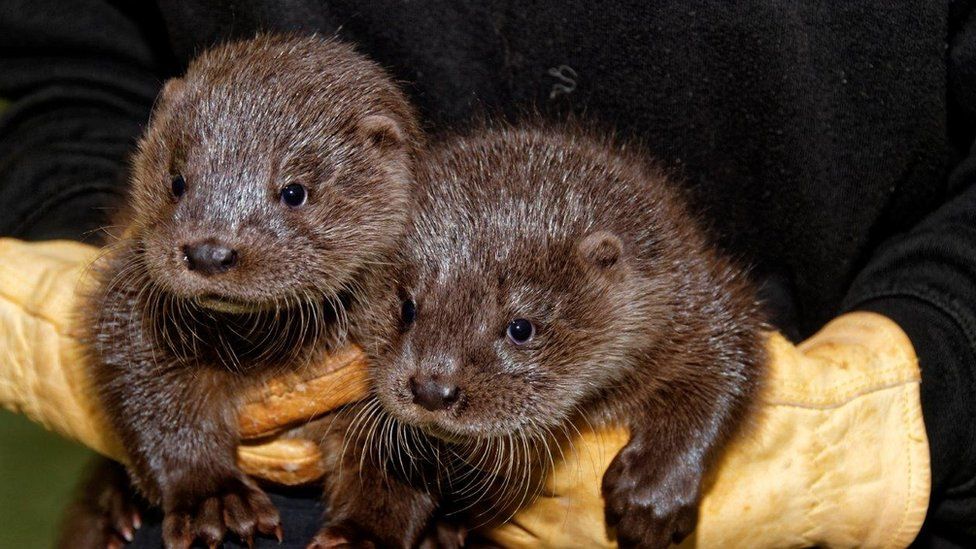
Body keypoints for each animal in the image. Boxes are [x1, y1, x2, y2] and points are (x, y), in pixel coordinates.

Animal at [76, 34, 420, 548]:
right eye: (177, 181)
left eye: (294, 191)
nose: (208, 252)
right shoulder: (130, 311)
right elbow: (154, 403)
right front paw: (213, 500)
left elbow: (401, 458)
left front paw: (364, 534)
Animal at [313, 123, 766, 548]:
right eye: (407, 307)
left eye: (520, 327)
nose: (431, 389)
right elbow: (376, 465)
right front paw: (358, 535)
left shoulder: (693, 295)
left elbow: (723, 368)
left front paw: (652, 494)